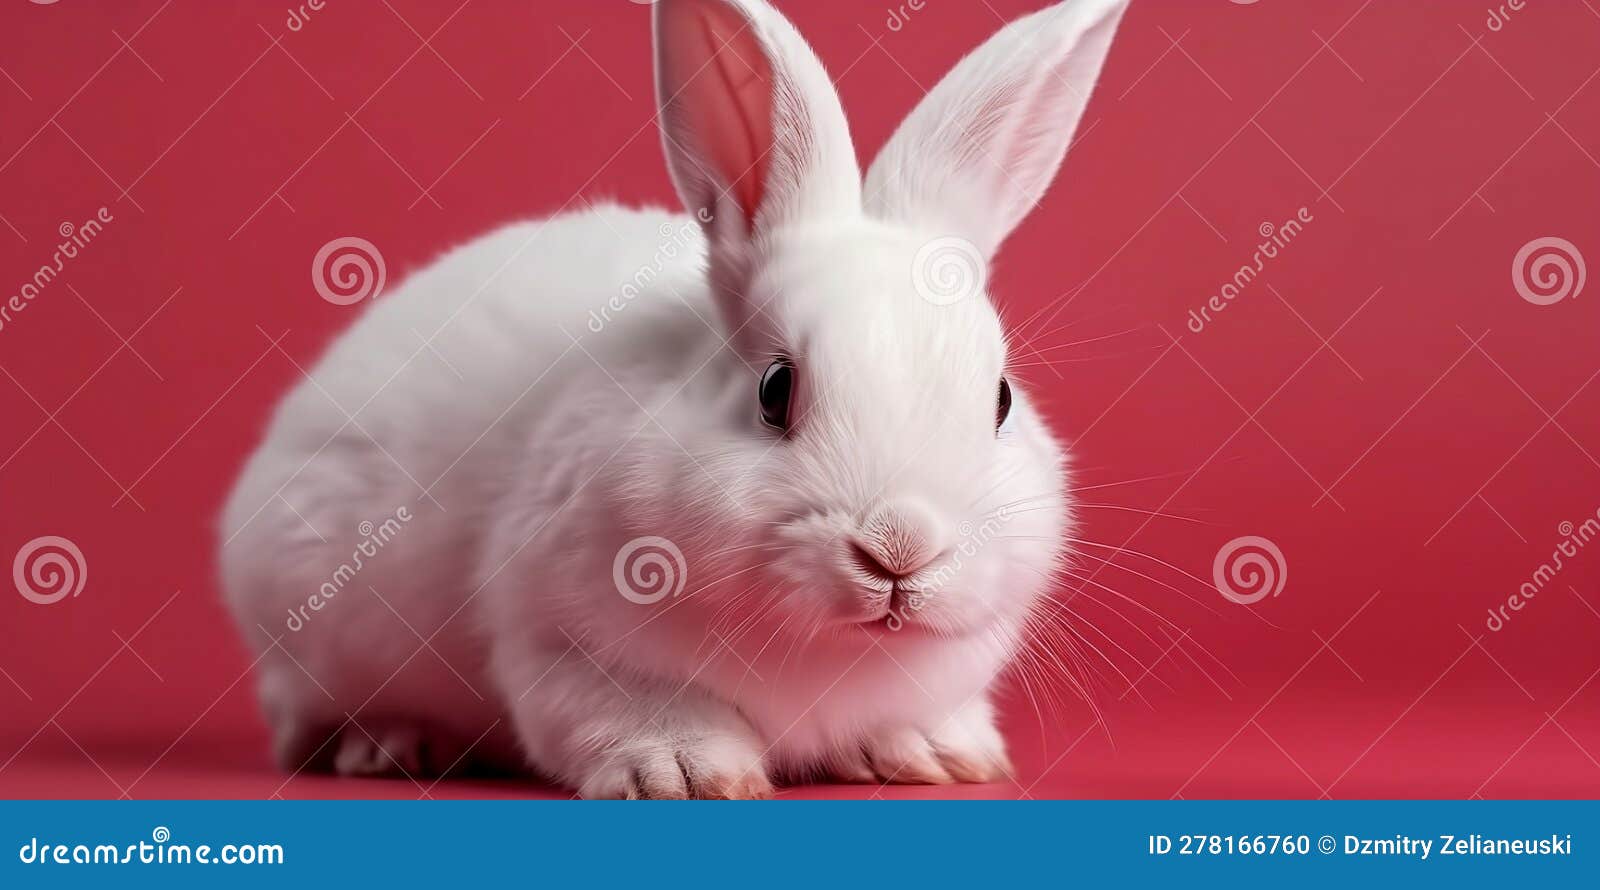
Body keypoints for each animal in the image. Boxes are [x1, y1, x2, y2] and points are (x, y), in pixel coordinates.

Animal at [219, 0, 1128, 798]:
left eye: (1000, 400)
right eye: (775, 390)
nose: (900, 548)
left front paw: (936, 756)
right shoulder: (563, 647)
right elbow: (632, 715)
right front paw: (689, 776)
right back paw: (390, 744)